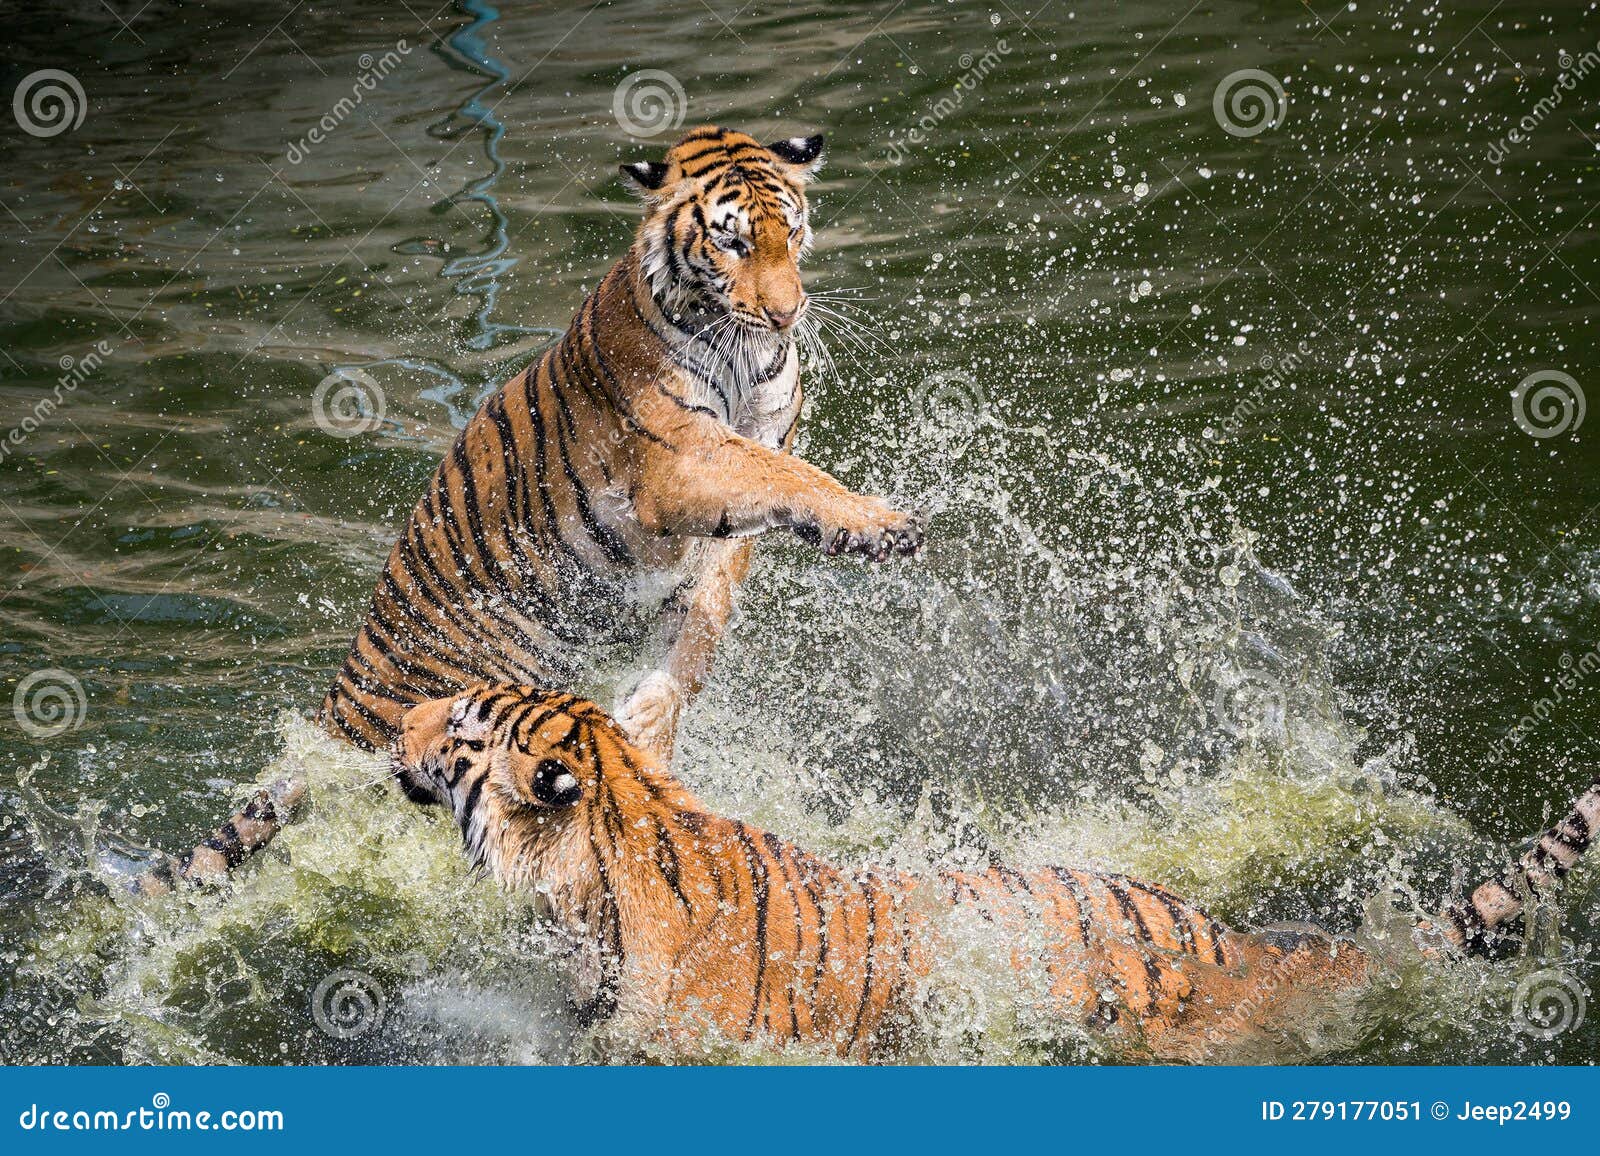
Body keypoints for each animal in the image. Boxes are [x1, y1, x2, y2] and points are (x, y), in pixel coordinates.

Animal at [319, 126, 924, 768]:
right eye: (733, 243)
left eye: (790, 233)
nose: (786, 317)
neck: (740, 351)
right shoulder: (677, 462)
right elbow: (788, 476)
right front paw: (883, 523)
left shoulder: (747, 475)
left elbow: (704, 618)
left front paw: (651, 722)